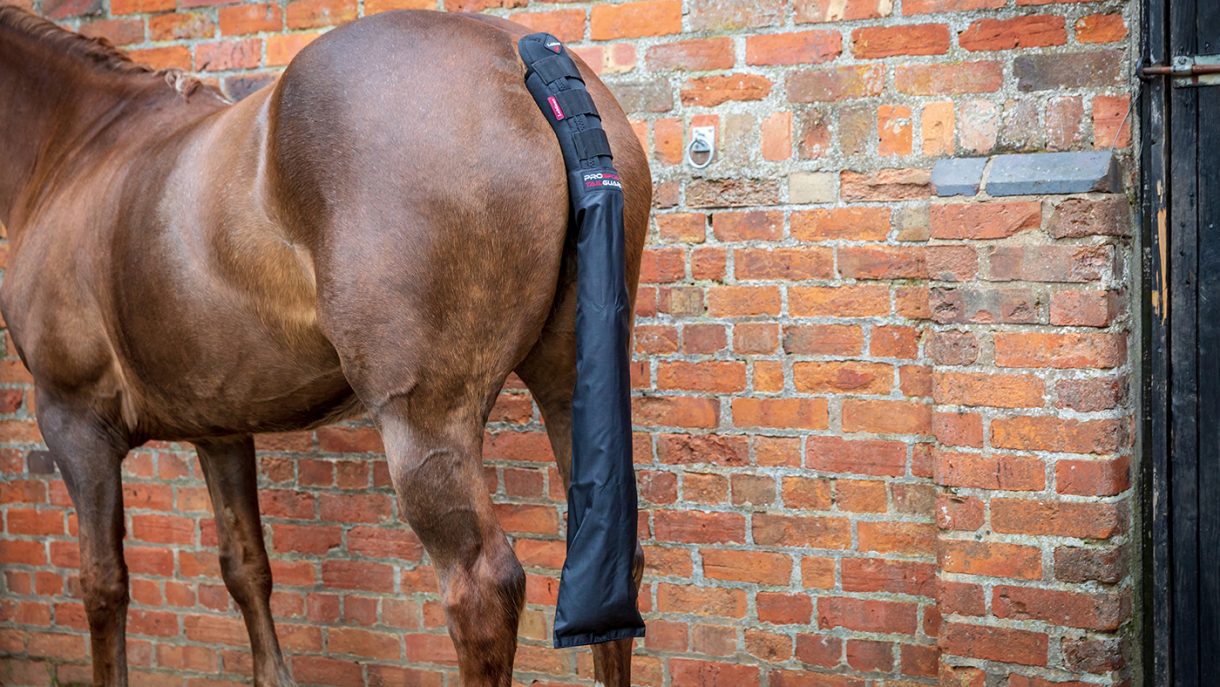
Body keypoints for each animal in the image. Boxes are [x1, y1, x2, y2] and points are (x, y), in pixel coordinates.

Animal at [0, 6, 650, 686]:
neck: (78, 147)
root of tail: (526, 57)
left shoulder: (74, 422)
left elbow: (103, 586)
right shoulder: (220, 428)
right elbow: (245, 566)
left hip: (427, 425)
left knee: (481, 592)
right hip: (569, 388)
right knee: (615, 563)